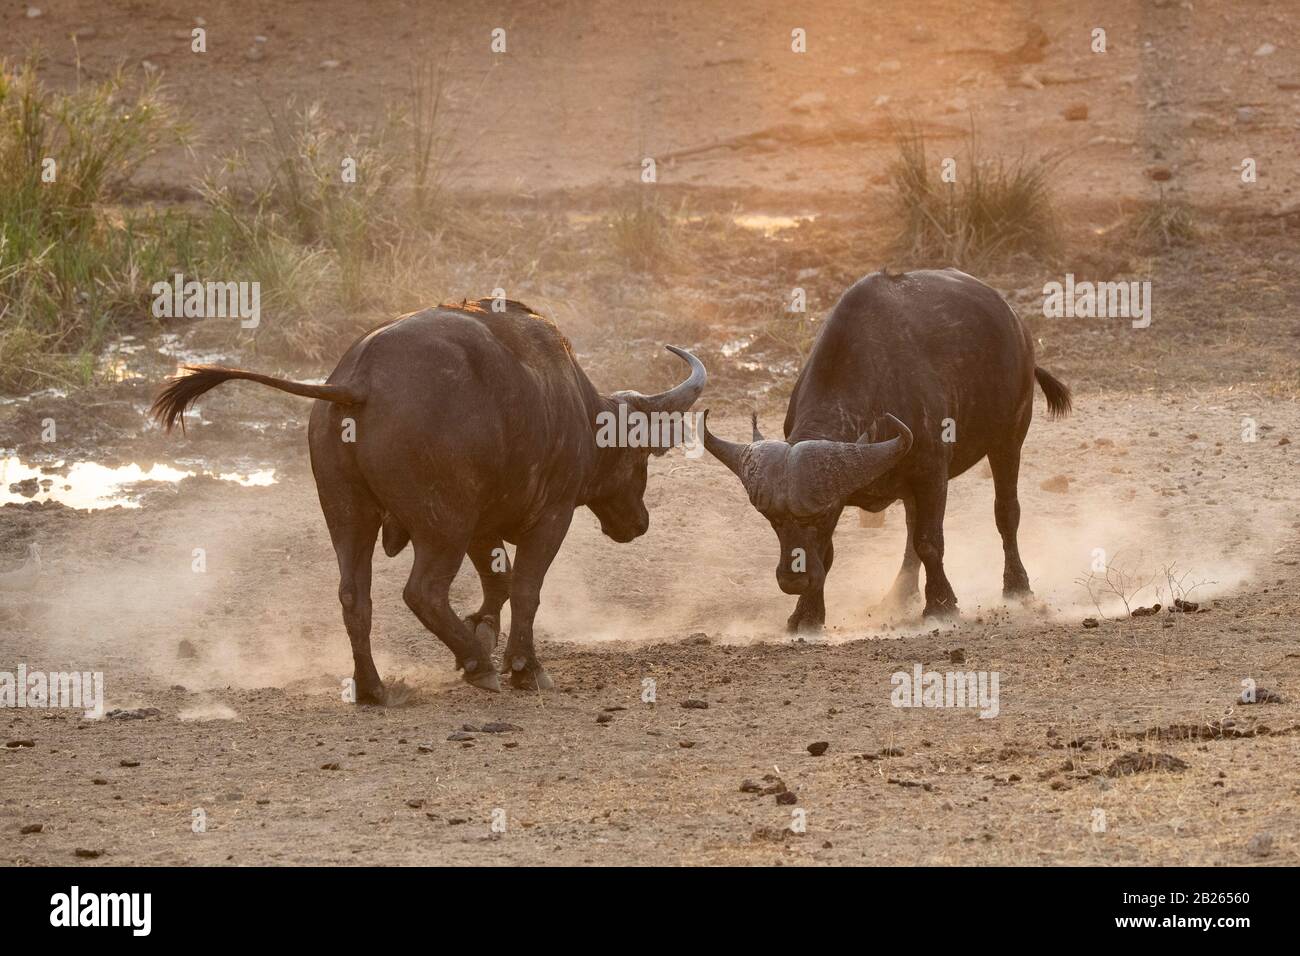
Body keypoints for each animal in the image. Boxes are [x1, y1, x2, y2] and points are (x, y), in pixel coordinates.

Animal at [152, 298, 706, 699]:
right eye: (640, 458)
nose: (639, 523)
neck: (574, 406)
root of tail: (359, 380)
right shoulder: (549, 516)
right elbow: (526, 588)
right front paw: (522, 666)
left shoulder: (484, 527)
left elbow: (500, 584)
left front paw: (483, 629)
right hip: (443, 527)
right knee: (422, 592)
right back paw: (477, 667)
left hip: (348, 516)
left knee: (354, 595)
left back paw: (375, 688)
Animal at [703, 268, 1071, 628]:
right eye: (773, 520)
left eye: (820, 516)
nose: (793, 581)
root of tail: (1016, 324)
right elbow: (832, 553)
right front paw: (806, 614)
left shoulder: (932, 473)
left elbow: (930, 541)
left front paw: (941, 605)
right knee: (910, 530)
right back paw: (900, 594)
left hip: (1009, 438)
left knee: (1005, 512)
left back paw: (1017, 587)